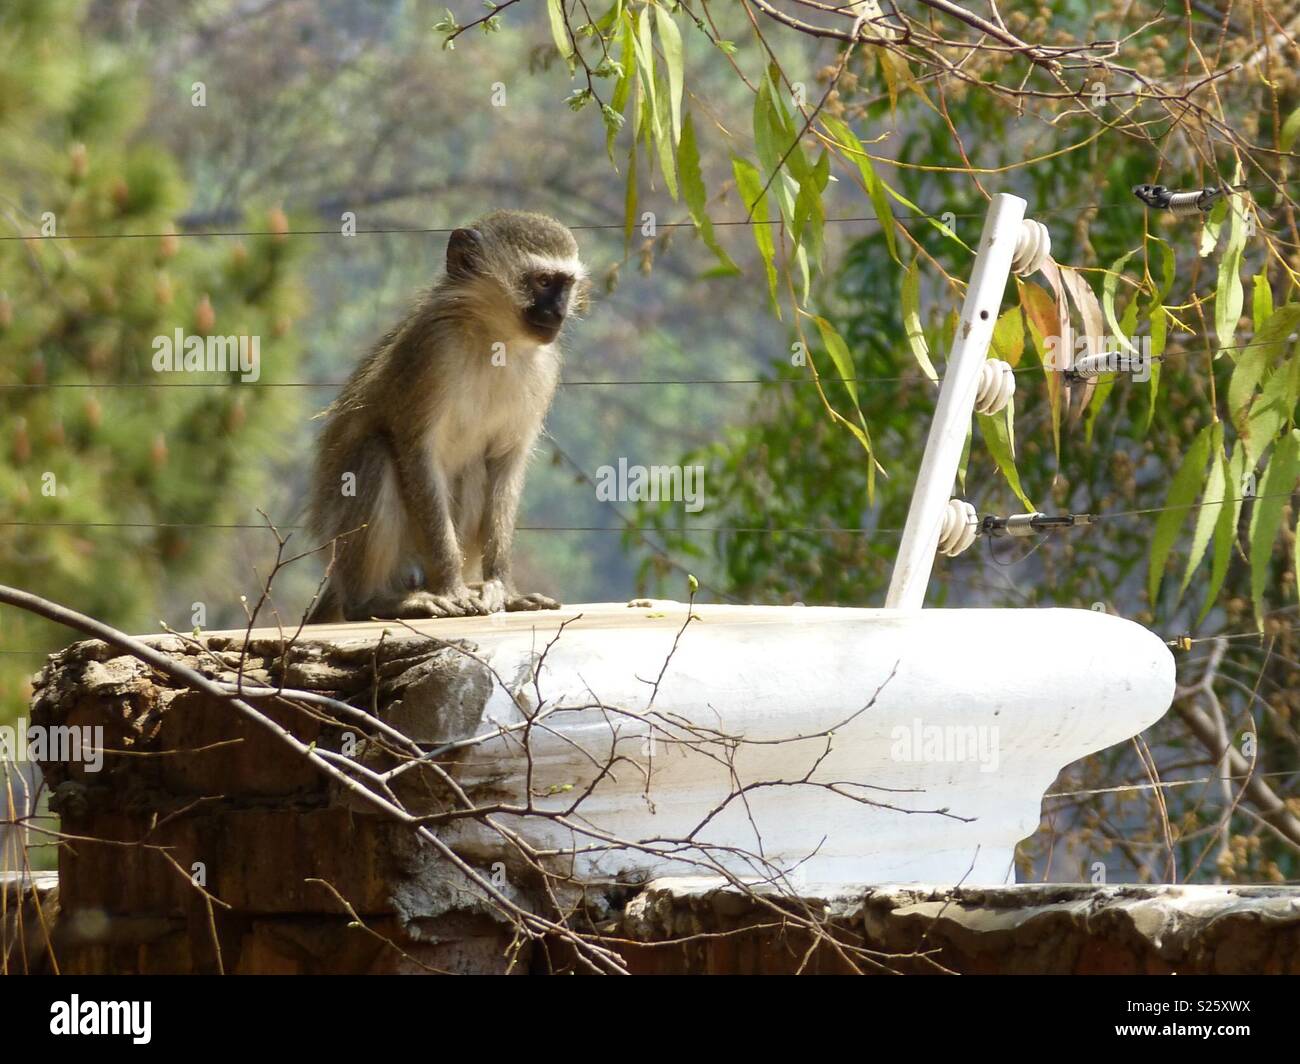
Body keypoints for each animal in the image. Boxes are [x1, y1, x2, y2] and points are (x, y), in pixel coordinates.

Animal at [306, 210, 589, 623]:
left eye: (565, 284)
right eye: (542, 281)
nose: (557, 313)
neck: (493, 340)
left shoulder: (545, 365)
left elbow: (505, 463)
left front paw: (505, 587)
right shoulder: (434, 350)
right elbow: (416, 451)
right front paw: (453, 587)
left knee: (472, 470)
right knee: (375, 454)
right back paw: (375, 602)